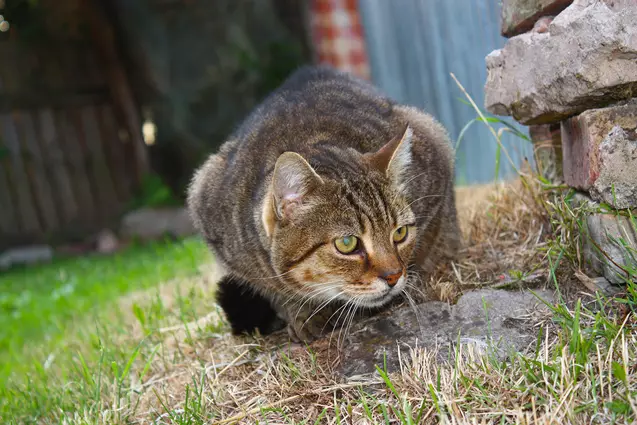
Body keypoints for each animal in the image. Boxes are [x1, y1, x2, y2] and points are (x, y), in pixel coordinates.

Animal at [186, 65, 460, 342]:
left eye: (400, 233)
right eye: (347, 244)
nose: (394, 276)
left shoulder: (436, 159)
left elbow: (433, 236)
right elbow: (275, 290)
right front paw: (302, 312)